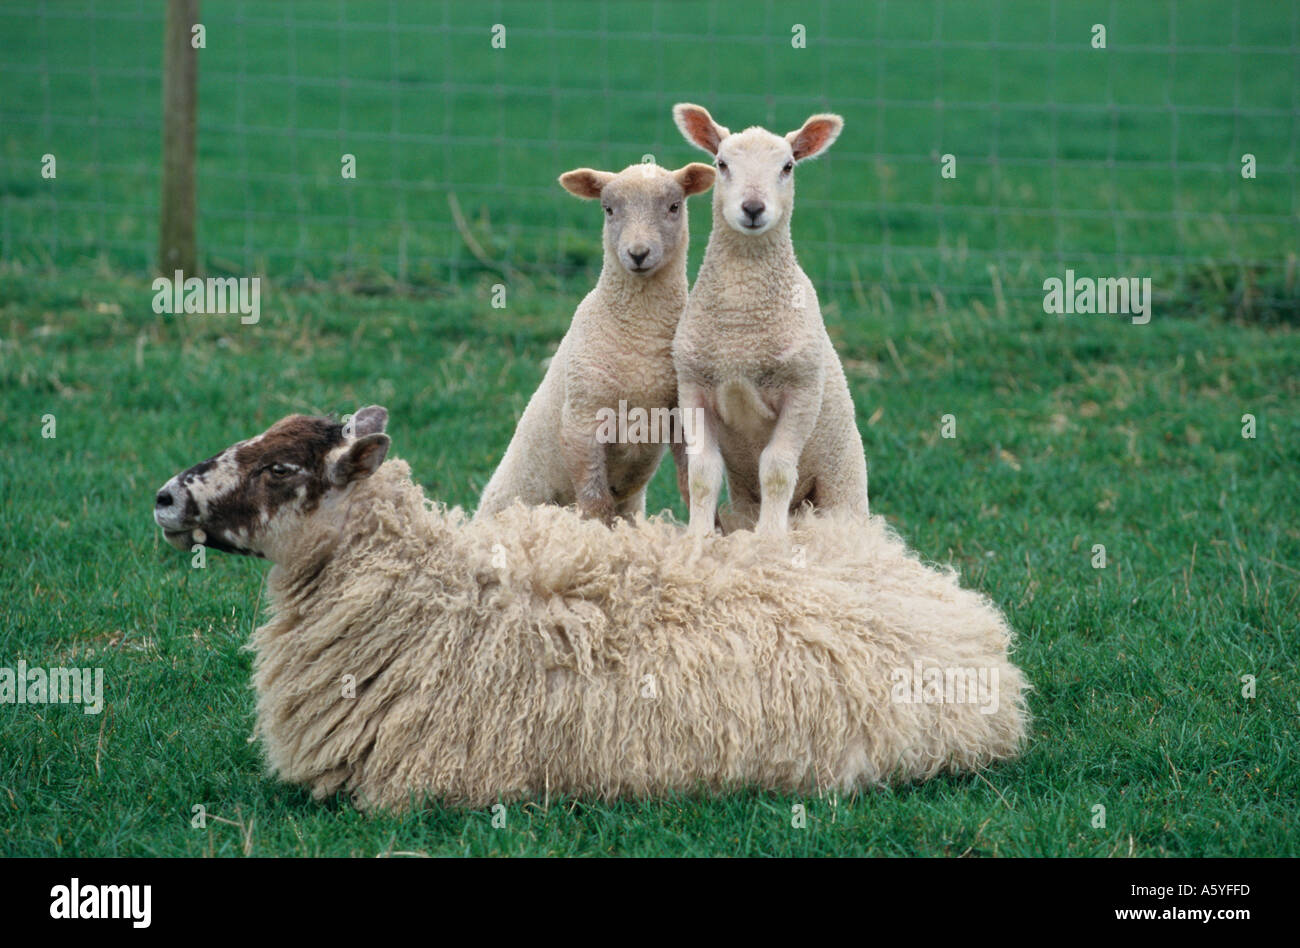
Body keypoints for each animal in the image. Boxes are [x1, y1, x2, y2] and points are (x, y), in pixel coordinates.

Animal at [476, 160, 716, 524]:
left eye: (674, 206)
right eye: (608, 209)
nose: (638, 254)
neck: (640, 334)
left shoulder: (683, 412)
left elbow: (692, 485)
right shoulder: (582, 418)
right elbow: (595, 503)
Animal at [671, 104, 870, 538]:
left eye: (788, 166)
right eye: (721, 163)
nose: (752, 208)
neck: (742, 323)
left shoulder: (802, 389)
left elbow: (777, 469)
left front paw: (770, 539)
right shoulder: (692, 387)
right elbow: (702, 473)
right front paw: (699, 536)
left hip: (844, 483)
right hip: (745, 495)